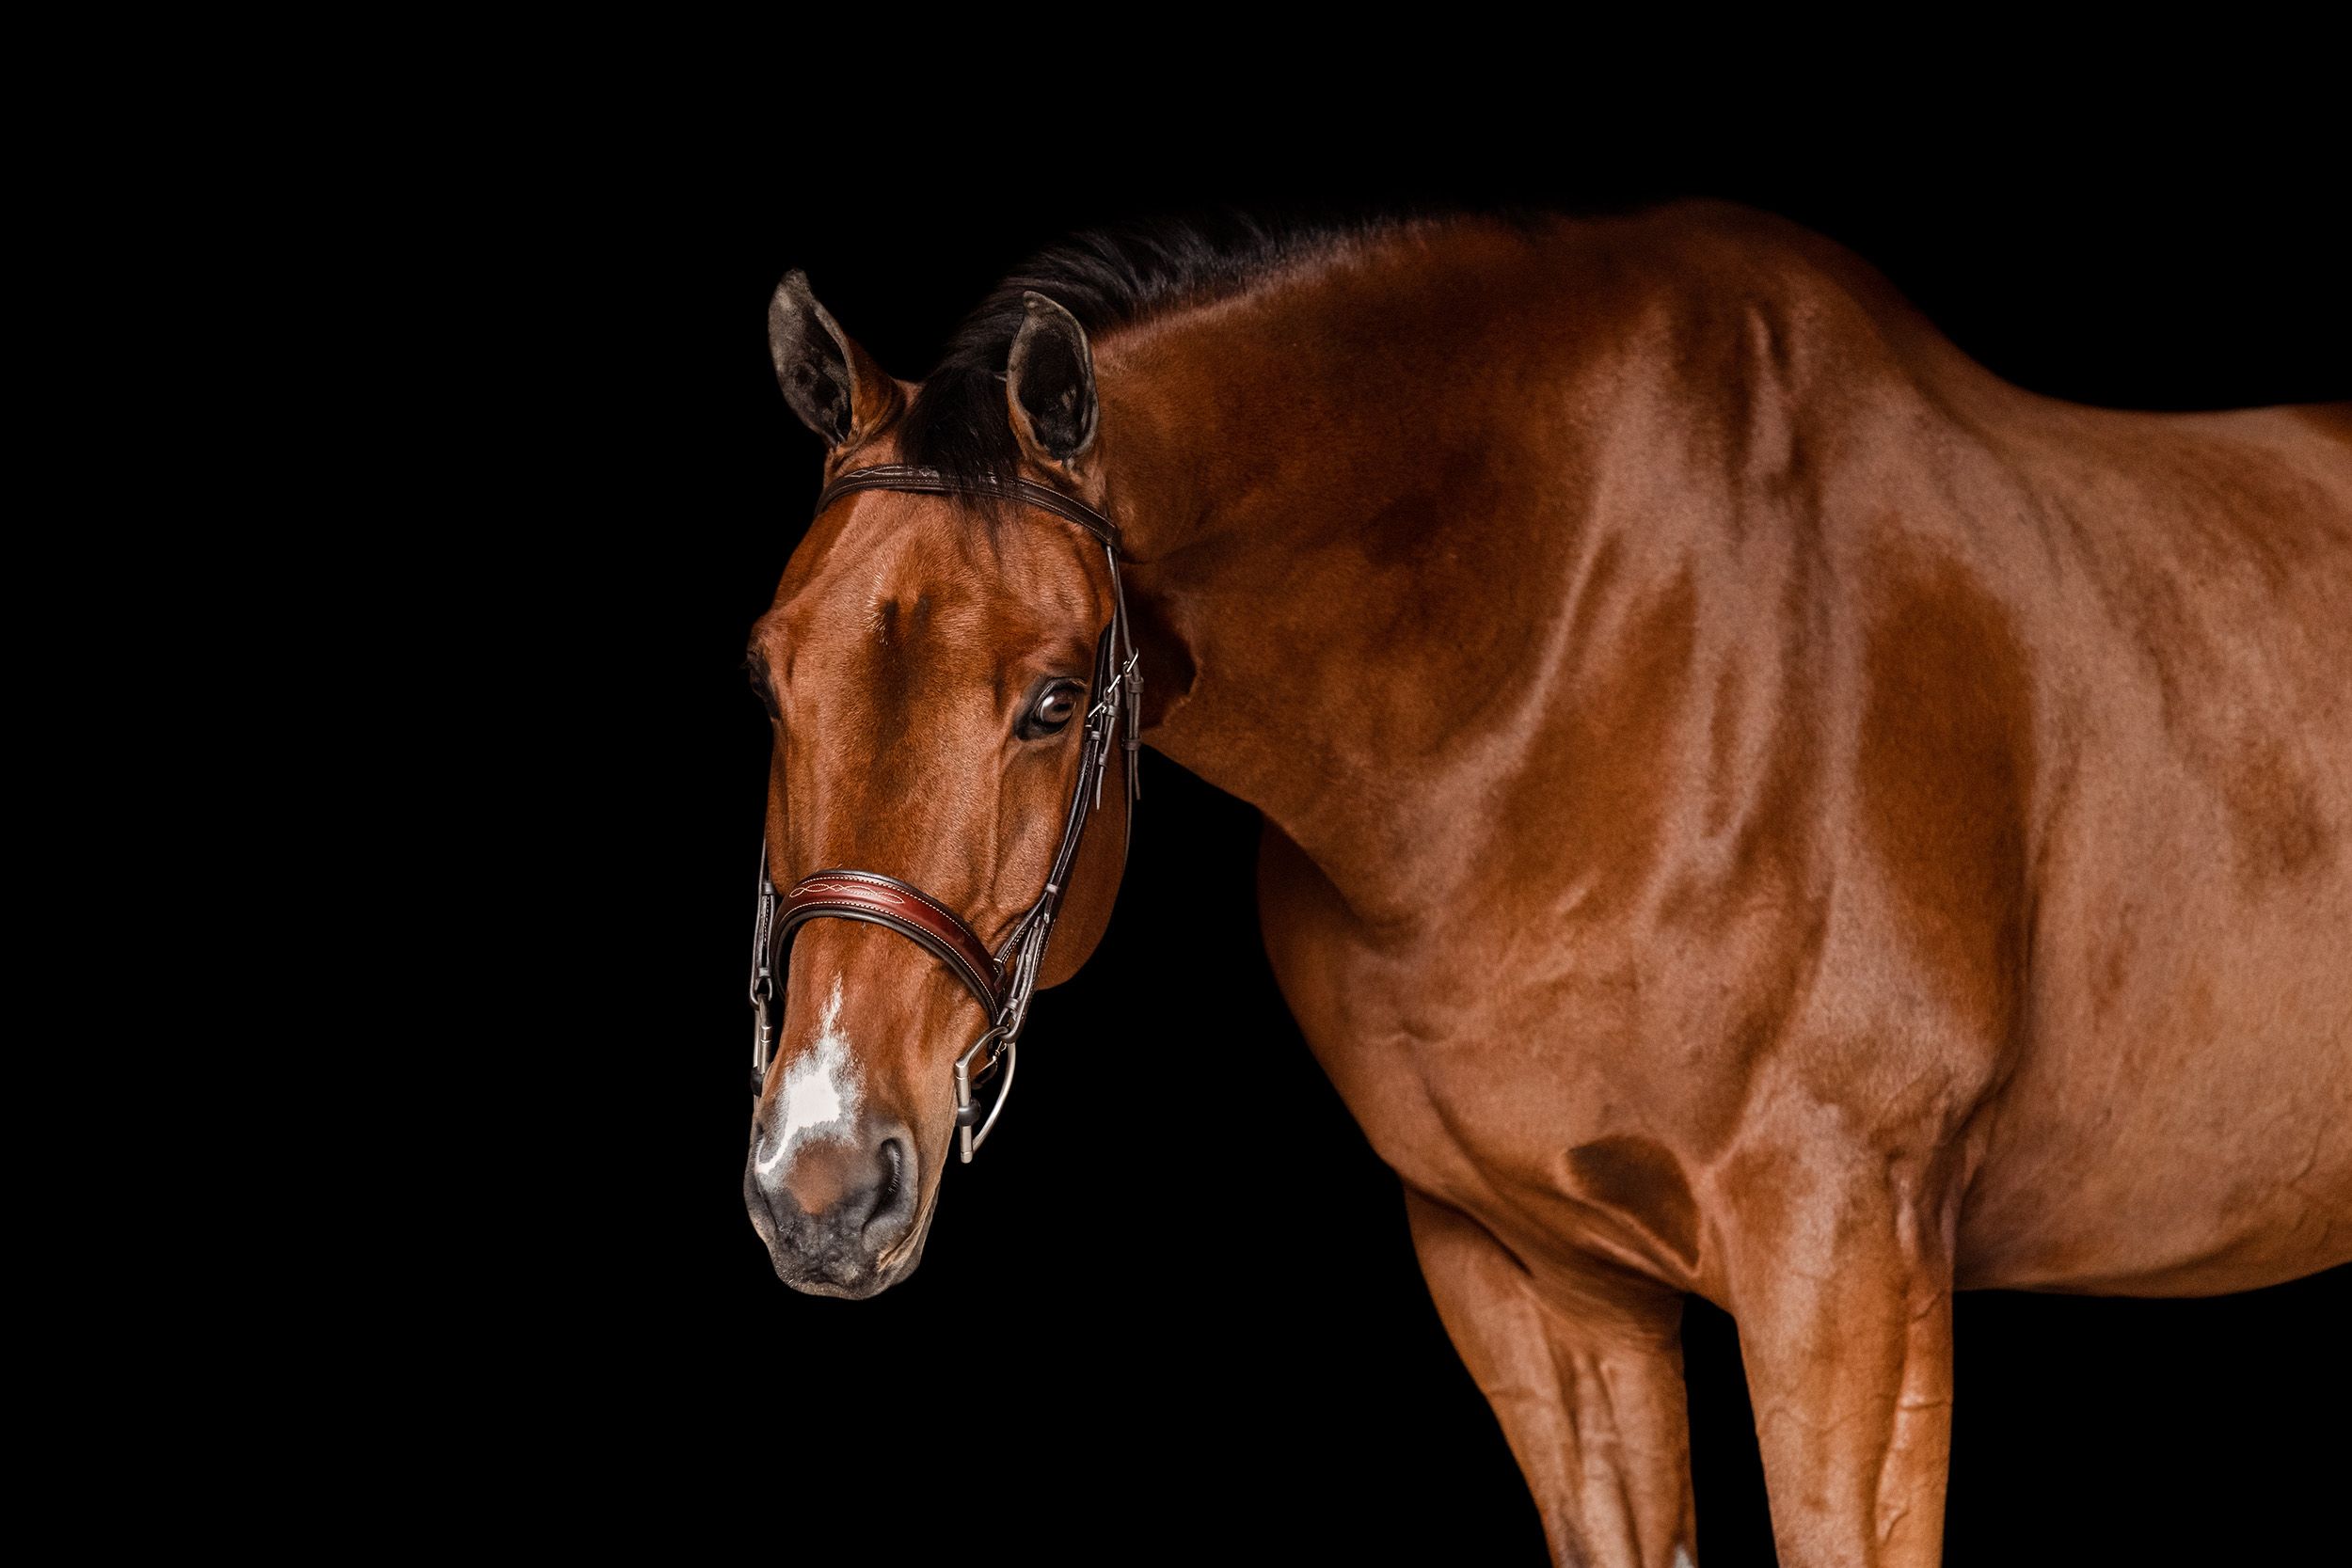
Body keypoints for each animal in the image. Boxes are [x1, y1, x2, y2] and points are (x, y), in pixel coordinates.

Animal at [738, 201, 2351, 1566]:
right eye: (767, 674)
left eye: (1056, 699)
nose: (822, 1183)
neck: (1563, 658)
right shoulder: (1545, 1282)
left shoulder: (1853, 1269)